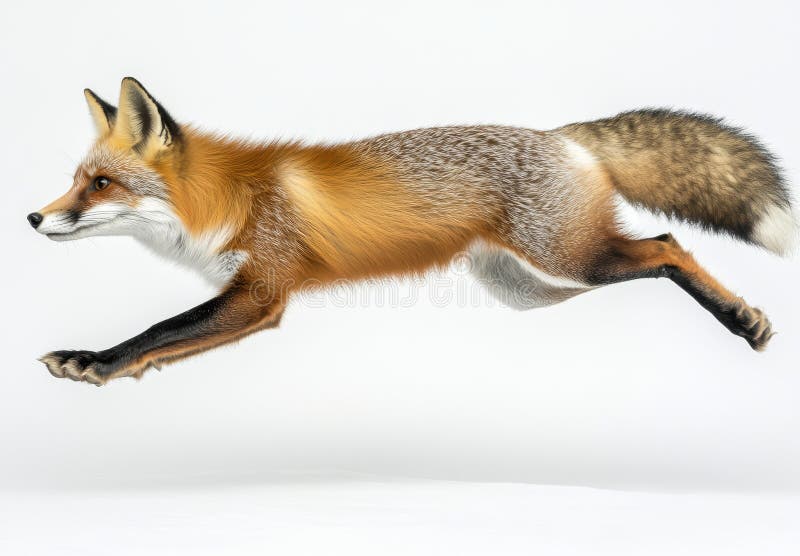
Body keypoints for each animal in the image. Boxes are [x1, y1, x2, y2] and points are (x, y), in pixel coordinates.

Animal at [30, 77, 795, 385]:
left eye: (101, 185)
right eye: (77, 179)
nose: (34, 217)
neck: (227, 197)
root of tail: (560, 136)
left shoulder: (262, 291)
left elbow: (161, 330)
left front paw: (98, 362)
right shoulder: (246, 293)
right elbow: (169, 341)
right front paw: (108, 363)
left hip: (569, 258)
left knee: (666, 247)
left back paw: (741, 320)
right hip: (532, 285)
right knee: (650, 259)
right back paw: (740, 316)